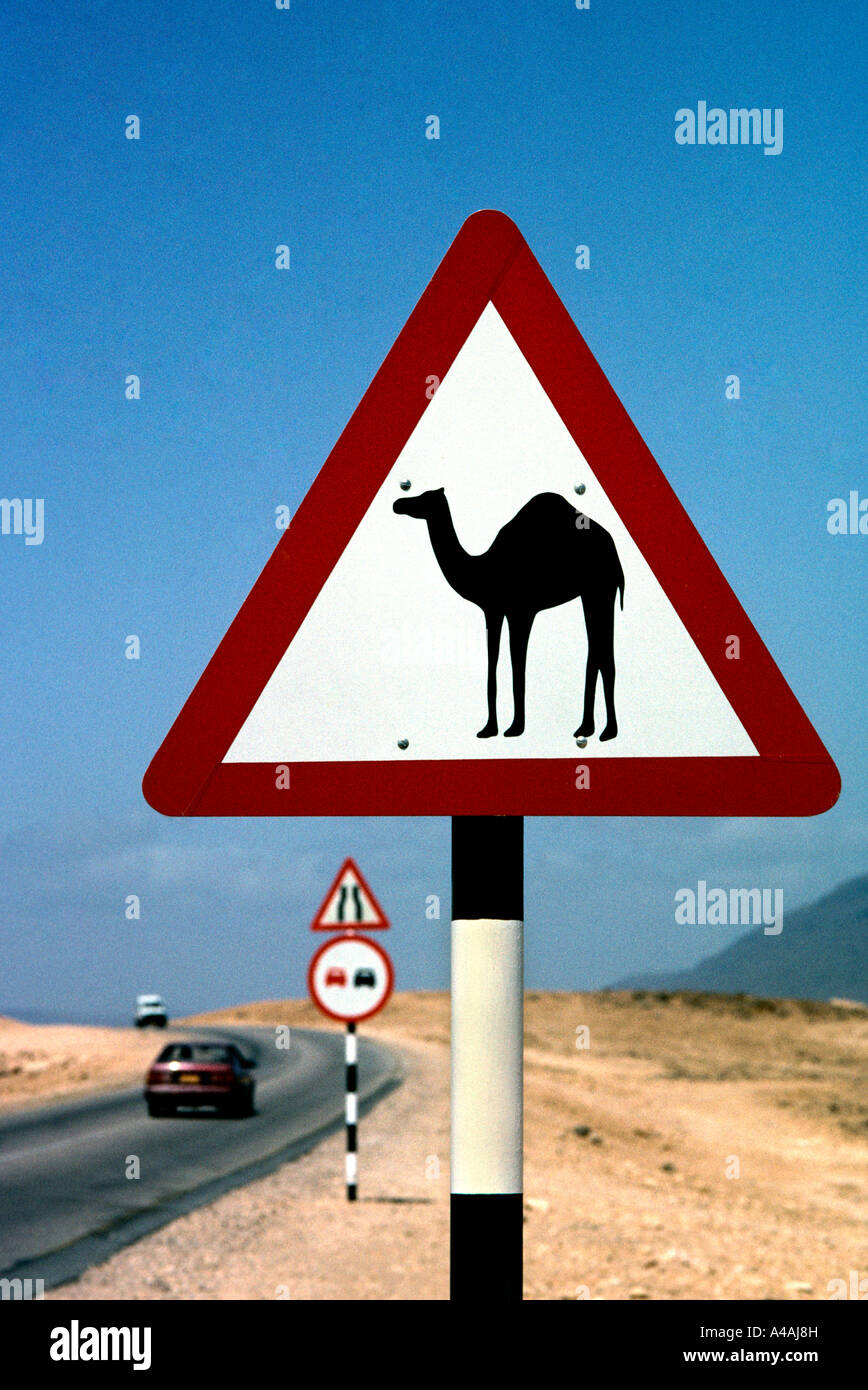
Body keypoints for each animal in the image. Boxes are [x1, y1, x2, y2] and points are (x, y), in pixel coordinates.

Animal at [392, 488, 624, 740]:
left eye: (424, 498)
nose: (398, 503)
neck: (482, 568)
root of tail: (614, 550)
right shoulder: (492, 610)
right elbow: (492, 665)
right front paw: (489, 728)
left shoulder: (520, 611)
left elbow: (517, 669)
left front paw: (515, 728)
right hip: (590, 593)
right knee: (597, 652)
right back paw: (587, 728)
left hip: (600, 589)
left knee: (603, 653)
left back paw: (608, 730)